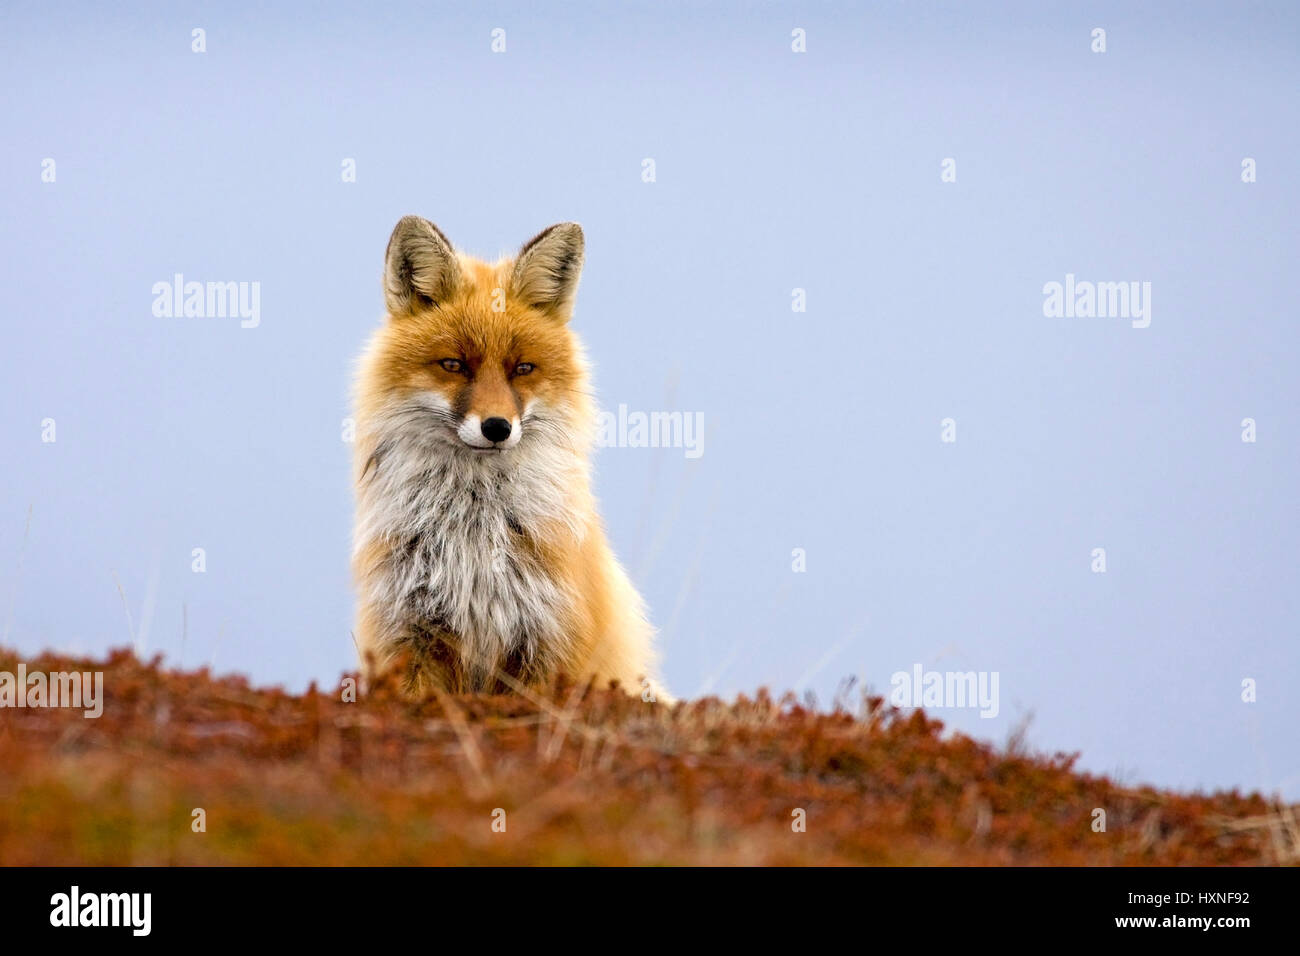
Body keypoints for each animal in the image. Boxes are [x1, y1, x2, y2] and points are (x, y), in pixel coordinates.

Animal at [351, 216, 669, 702]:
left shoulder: (547, 642)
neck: (473, 536)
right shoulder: (409, 634)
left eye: (522, 369)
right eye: (454, 364)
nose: (497, 427)